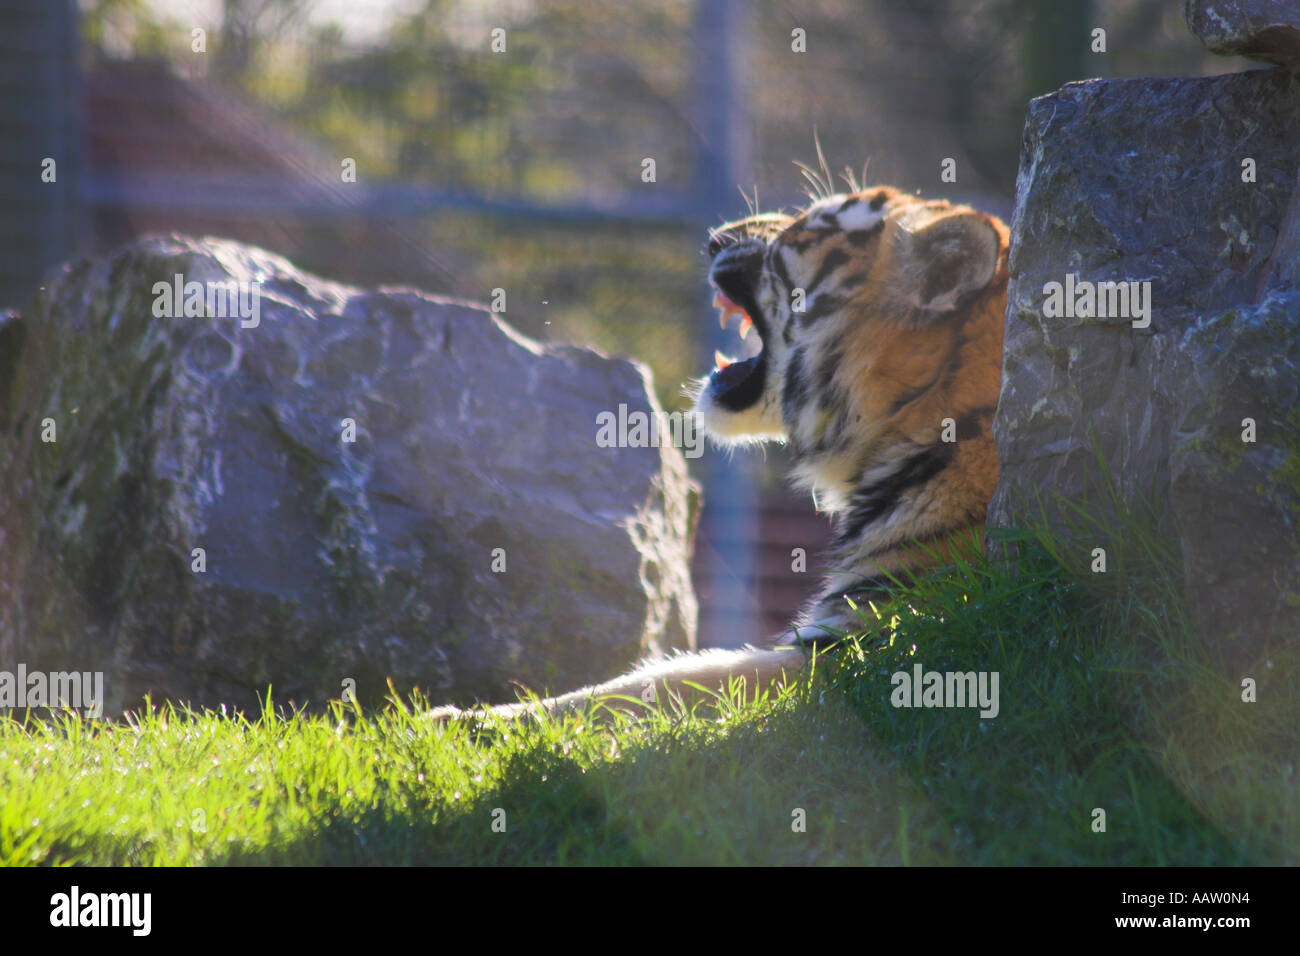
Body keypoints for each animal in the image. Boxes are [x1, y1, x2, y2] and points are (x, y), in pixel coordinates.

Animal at [430, 184, 1008, 721]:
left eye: (813, 226)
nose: (716, 238)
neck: (917, 417)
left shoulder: (858, 651)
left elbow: (669, 681)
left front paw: (466, 721)